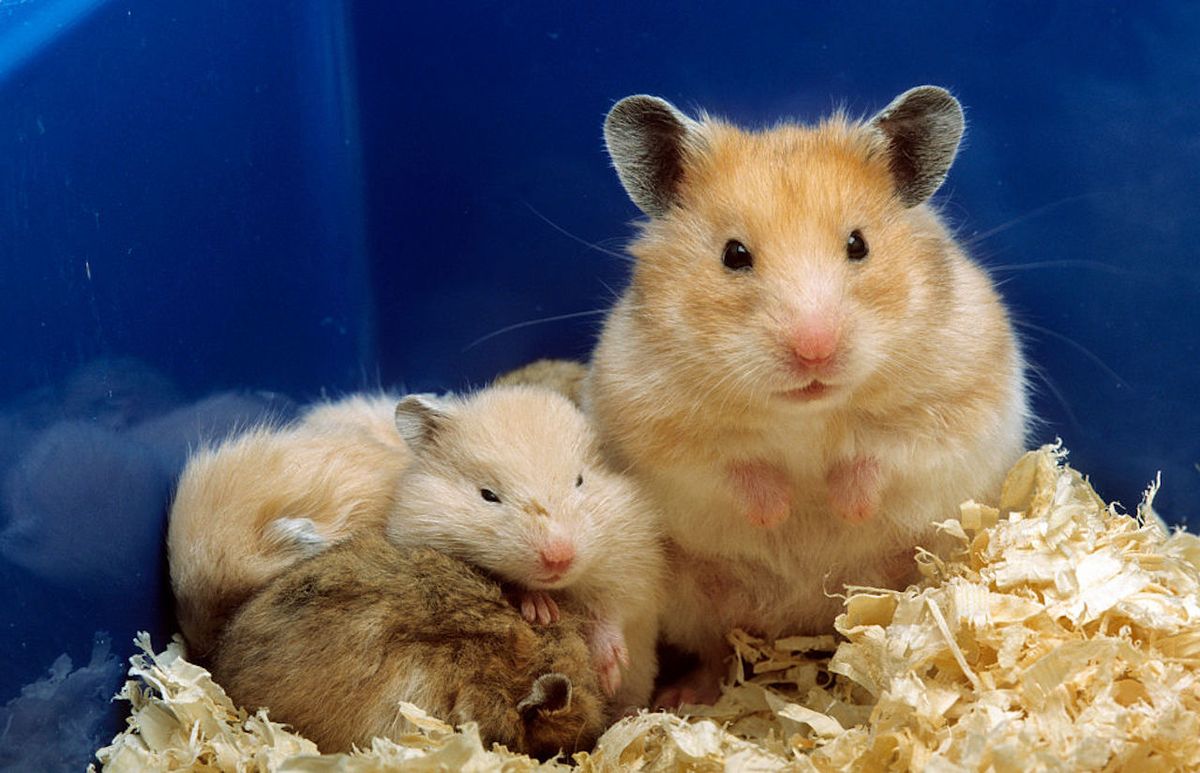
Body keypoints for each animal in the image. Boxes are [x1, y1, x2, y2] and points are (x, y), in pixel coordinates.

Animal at [388, 384, 663, 712]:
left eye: (580, 481)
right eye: (488, 495)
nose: (559, 558)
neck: (562, 586)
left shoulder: (630, 562)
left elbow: (612, 611)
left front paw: (611, 673)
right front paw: (541, 611)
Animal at [586, 87, 1029, 703]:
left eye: (858, 244)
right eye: (734, 254)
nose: (814, 351)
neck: (807, 414)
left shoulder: (956, 400)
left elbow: (882, 451)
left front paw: (843, 508)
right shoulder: (653, 423)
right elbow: (734, 466)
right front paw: (781, 514)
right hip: (695, 601)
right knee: (715, 650)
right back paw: (686, 696)